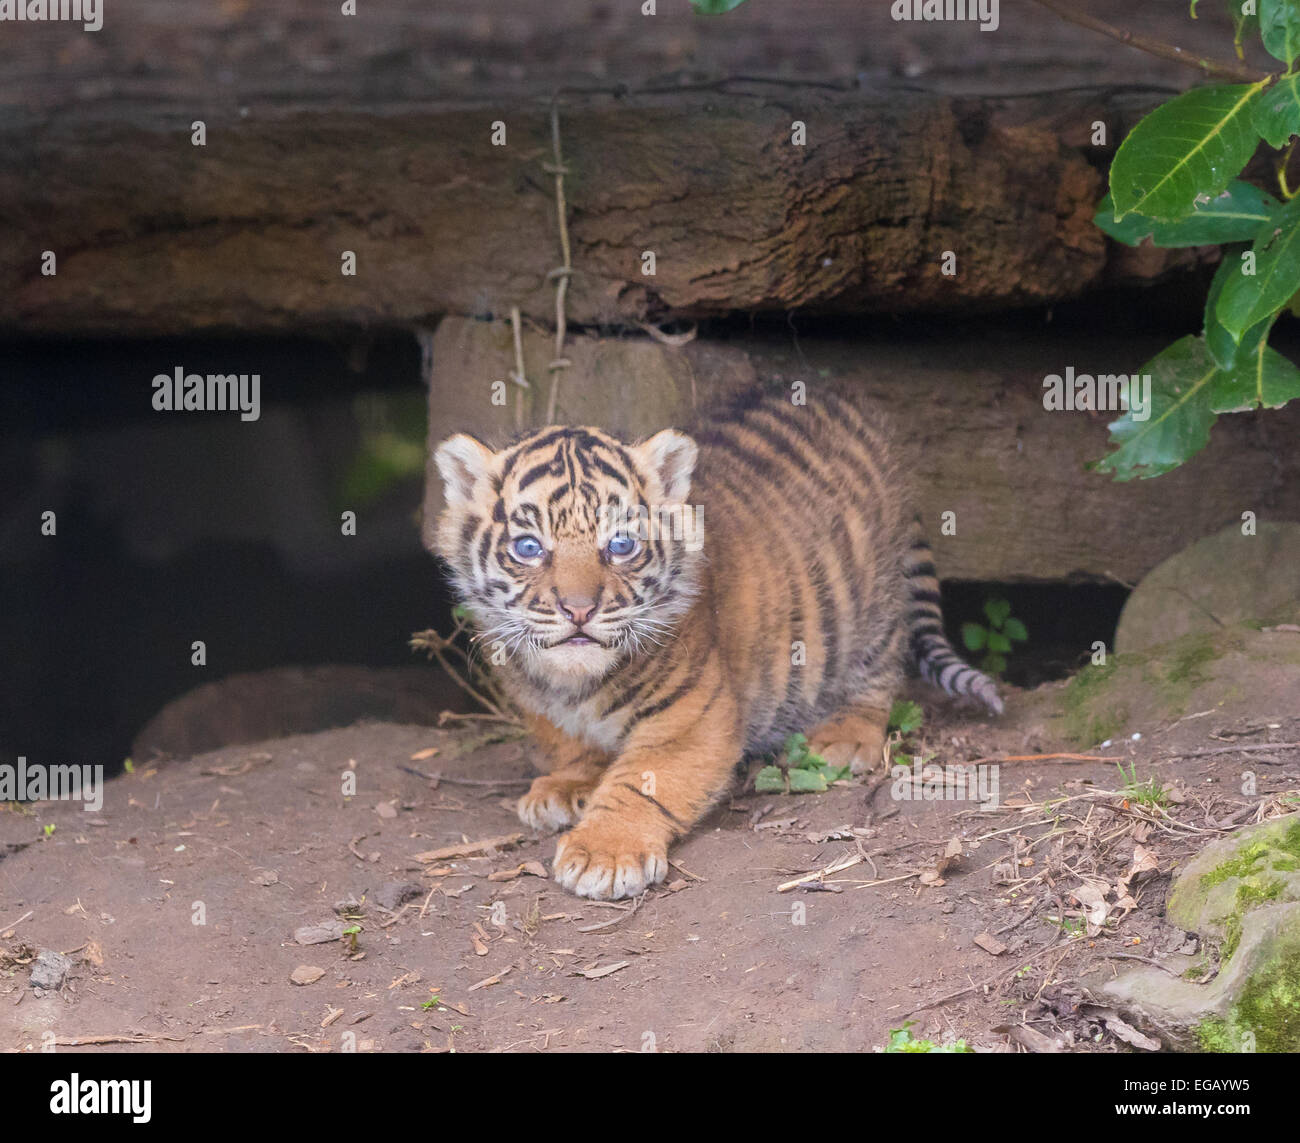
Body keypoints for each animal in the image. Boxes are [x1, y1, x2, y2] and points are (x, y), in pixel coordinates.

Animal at [432, 390, 1001, 900]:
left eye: (621, 545)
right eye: (529, 547)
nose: (578, 610)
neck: (572, 682)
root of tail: (850, 400)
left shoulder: (689, 719)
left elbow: (641, 782)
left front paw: (605, 853)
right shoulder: (540, 704)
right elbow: (568, 743)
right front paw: (567, 785)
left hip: (871, 598)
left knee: (880, 666)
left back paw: (845, 736)